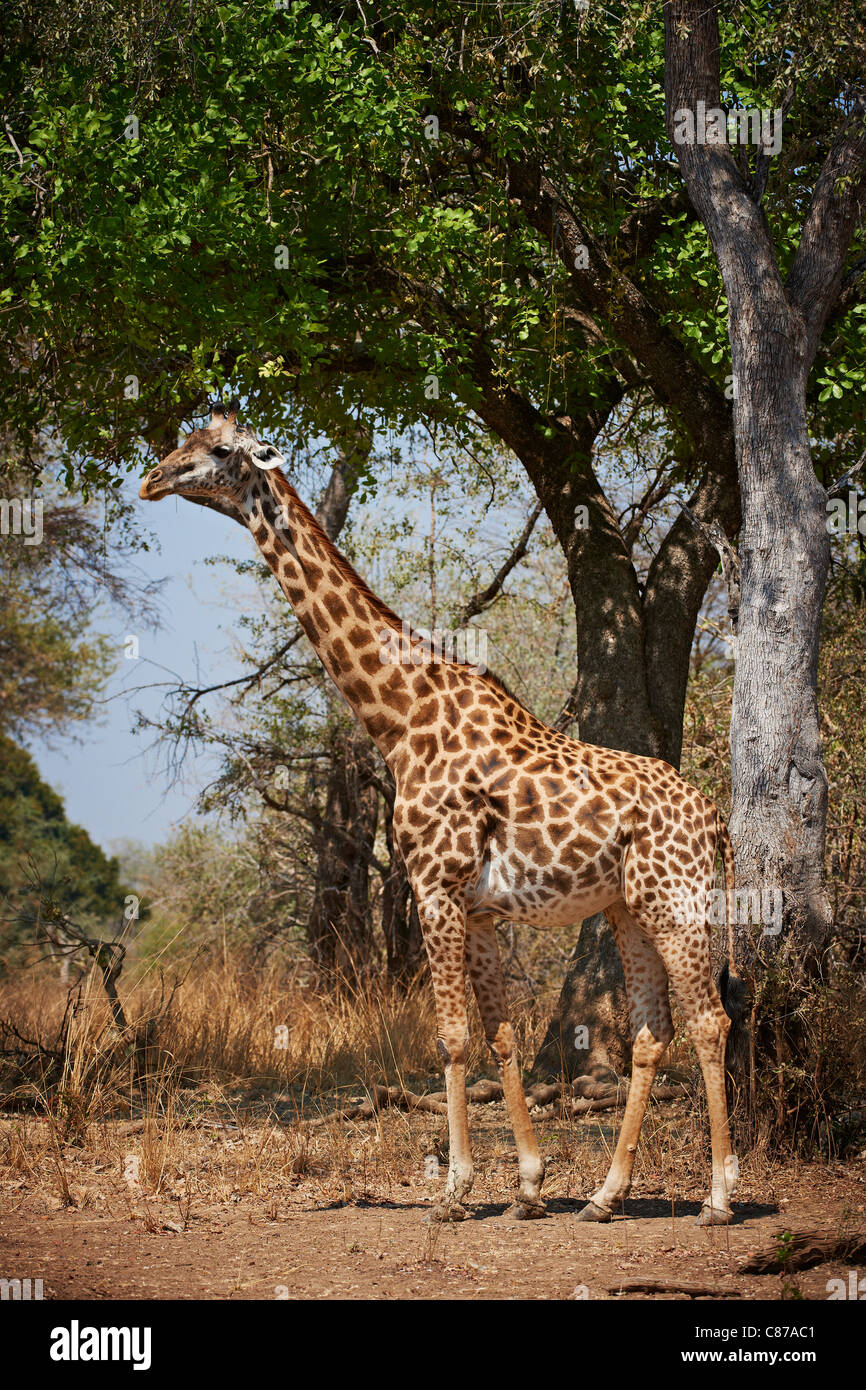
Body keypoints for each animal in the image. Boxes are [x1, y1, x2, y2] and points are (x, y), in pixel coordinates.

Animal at [140, 402, 743, 1226]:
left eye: (221, 451)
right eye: (188, 440)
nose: (150, 480)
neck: (398, 717)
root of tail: (716, 819)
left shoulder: (433, 888)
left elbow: (453, 1038)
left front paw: (454, 1191)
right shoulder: (479, 907)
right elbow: (502, 1035)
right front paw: (528, 1187)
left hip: (676, 900)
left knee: (711, 1021)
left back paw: (719, 1196)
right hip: (630, 907)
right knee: (654, 1032)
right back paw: (604, 1196)